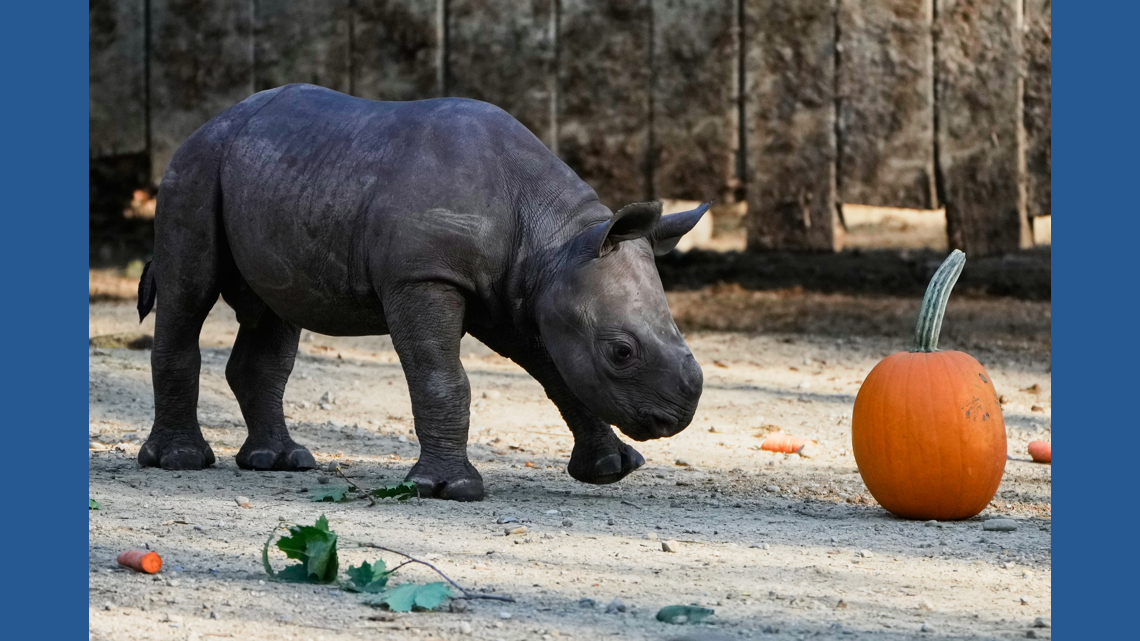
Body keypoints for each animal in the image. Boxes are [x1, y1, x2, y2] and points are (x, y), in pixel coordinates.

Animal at [137, 84, 706, 500]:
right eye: (621, 353)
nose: (678, 415)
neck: (555, 240)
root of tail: (213, 121)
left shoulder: (522, 296)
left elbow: (560, 376)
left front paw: (611, 469)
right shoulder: (423, 276)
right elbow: (442, 378)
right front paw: (448, 489)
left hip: (274, 175)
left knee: (275, 315)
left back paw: (279, 463)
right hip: (195, 168)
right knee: (189, 292)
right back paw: (181, 461)